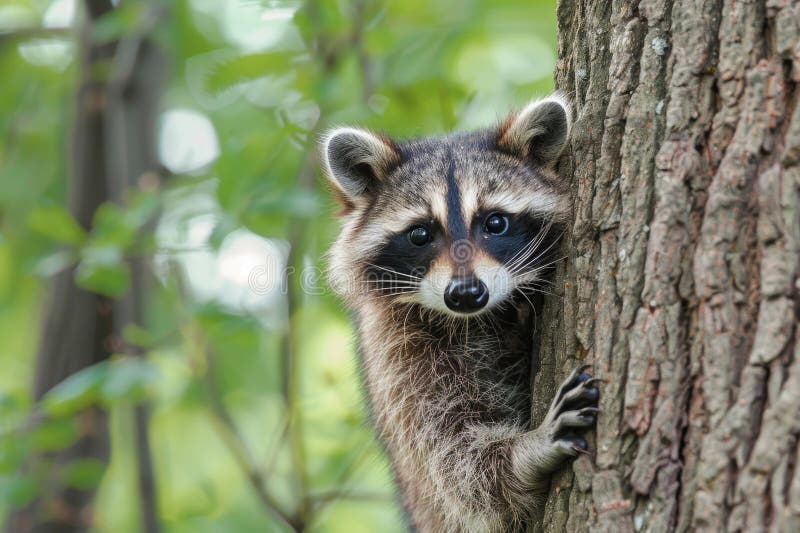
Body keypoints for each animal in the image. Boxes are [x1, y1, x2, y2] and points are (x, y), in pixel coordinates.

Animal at [321, 95, 599, 532]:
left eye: (495, 222)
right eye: (420, 234)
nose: (467, 294)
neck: (476, 319)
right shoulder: (397, 353)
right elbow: (453, 458)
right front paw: (526, 454)